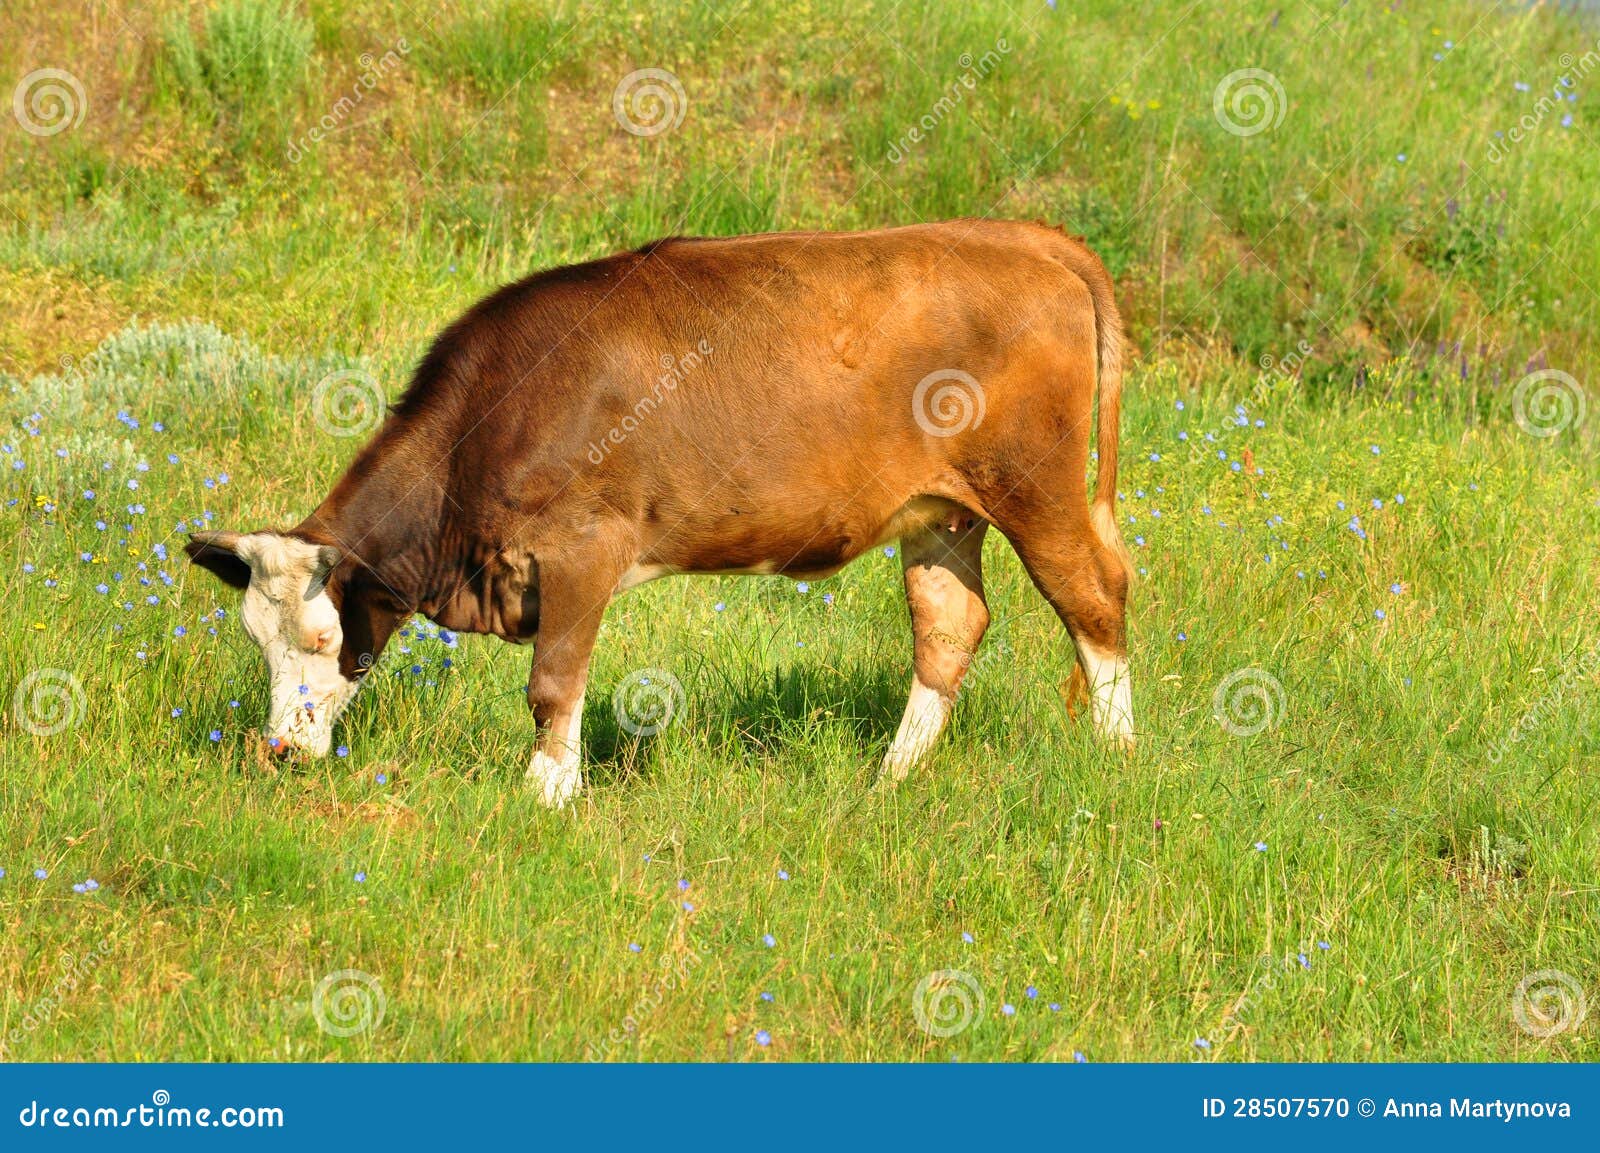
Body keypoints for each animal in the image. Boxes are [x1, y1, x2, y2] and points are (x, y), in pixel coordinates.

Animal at [186, 219, 1134, 806]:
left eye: (324, 635)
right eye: (255, 638)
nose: (278, 750)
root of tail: (1013, 234)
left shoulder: (583, 548)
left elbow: (553, 682)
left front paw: (547, 794)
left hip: (1035, 487)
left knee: (1096, 598)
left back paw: (1116, 754)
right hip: (941, 511)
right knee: (949, 624)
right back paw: (890, 778)